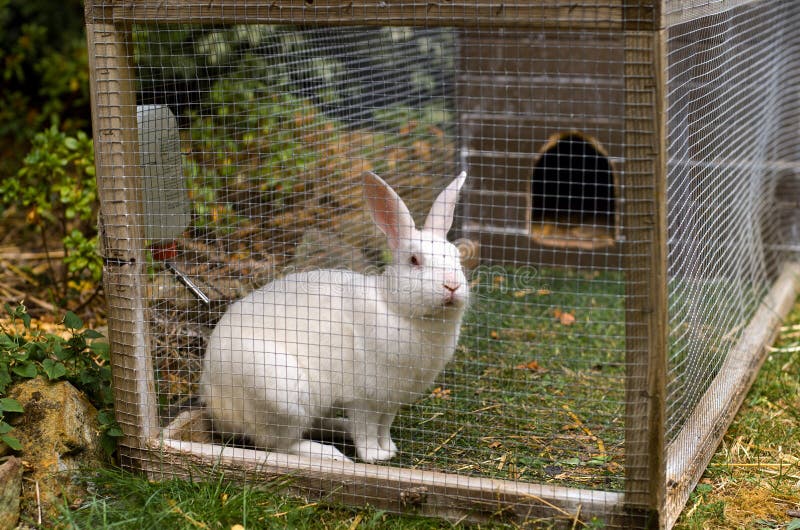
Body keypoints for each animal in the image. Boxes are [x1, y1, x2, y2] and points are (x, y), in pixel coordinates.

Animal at [199, 170, 470, 463]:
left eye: (457, 257)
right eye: (414, 260)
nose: (452, 285)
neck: (398, 310)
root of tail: (213, 401)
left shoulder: (391, 401)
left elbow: (384, 427)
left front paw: (389, 450)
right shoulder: (363, 398)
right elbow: (366, 430)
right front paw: (374, 457)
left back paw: (339, 429)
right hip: (281, 394)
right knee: (281, 444)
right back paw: (331, 455)